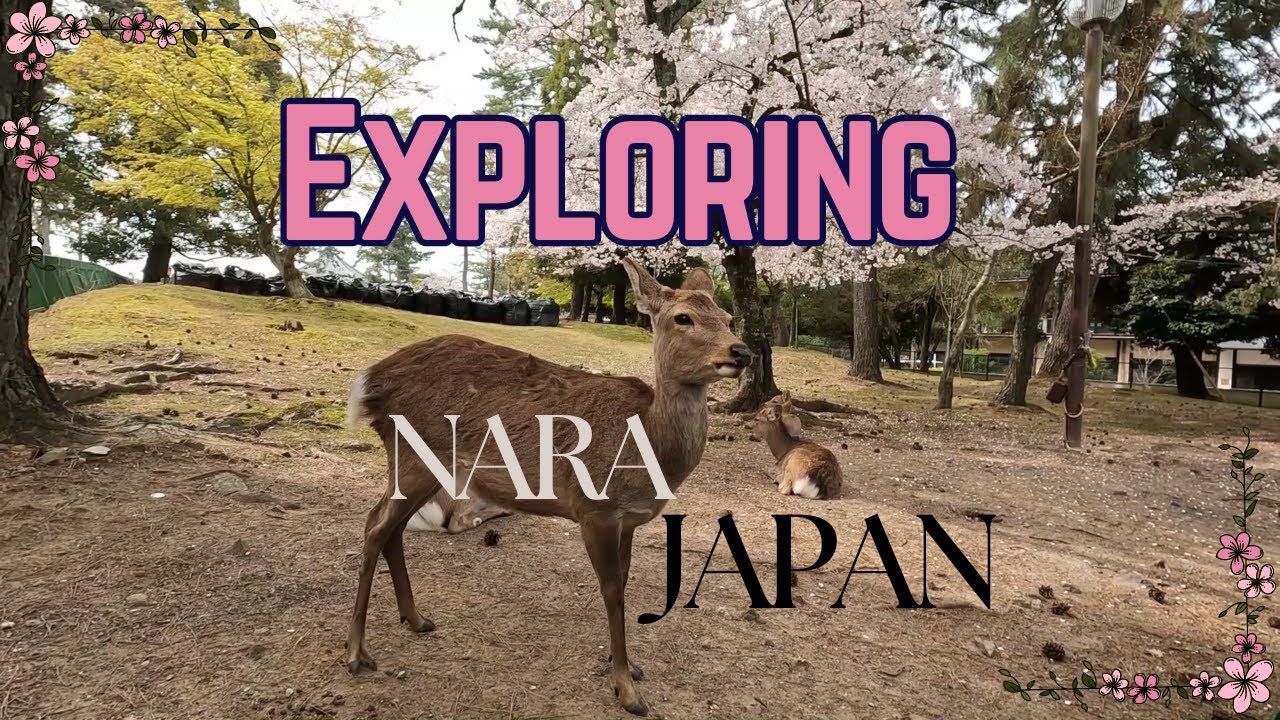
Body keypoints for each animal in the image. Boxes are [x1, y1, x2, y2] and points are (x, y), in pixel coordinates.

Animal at [343, 258, 749, 717]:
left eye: (728, 318)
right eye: (683, 318)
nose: (741, 352)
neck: (650, 448)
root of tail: (369, 383)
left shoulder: (627, 519)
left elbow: (625, 581)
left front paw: (626, 665)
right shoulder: (594, 509)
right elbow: (612, 590)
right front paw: (627, 688)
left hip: (422, 466)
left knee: (391, 528)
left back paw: (416, 619)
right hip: (415, 454)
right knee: (375, 525)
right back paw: (356, 653)